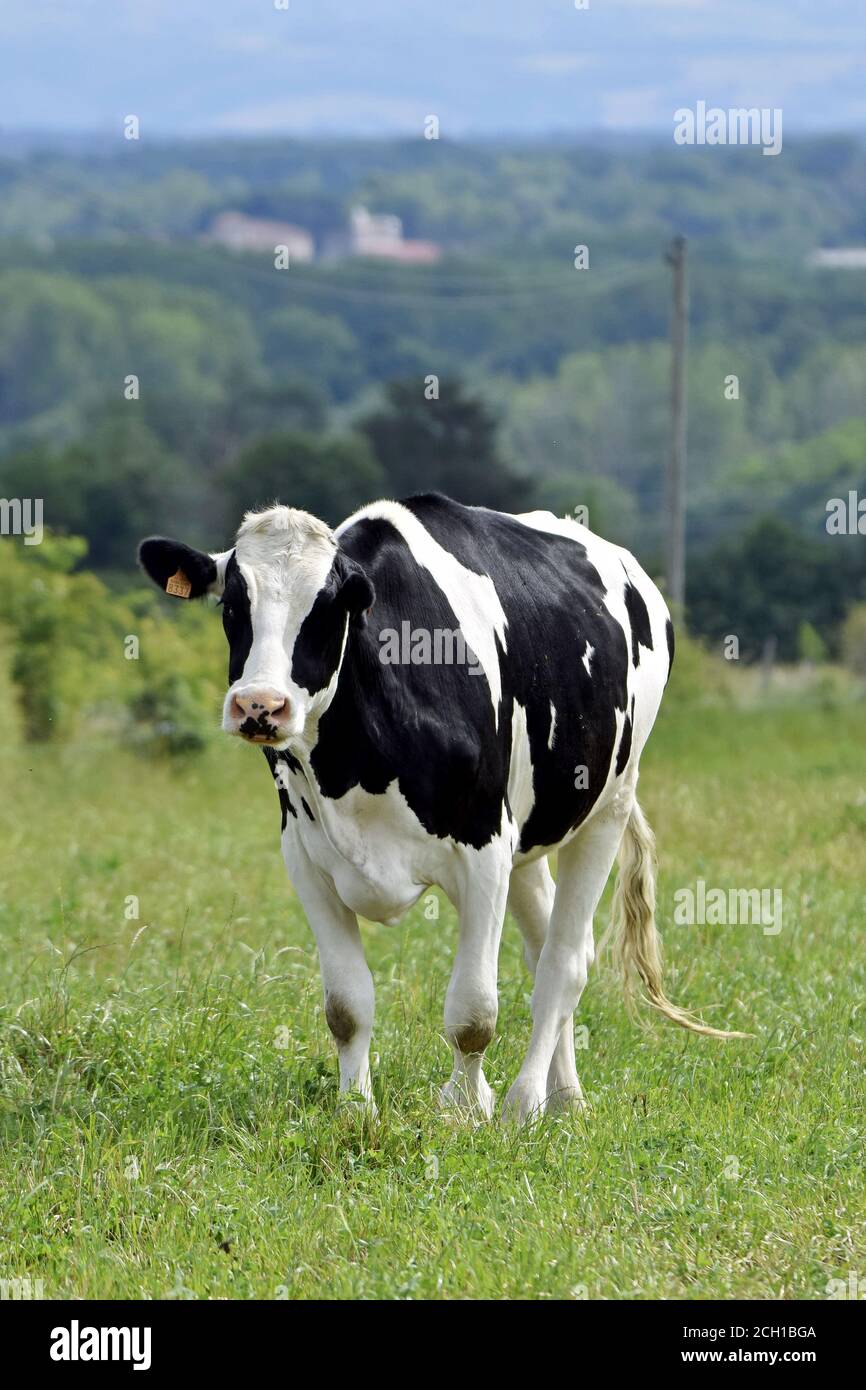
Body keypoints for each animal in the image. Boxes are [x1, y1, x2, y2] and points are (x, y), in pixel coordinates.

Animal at [139, 492, 743, 1124]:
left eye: (327, 607)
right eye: (232, 603)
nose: (260, 705)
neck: (357, 766)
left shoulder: (484, 847)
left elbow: (473, 1012)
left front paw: (467, 1109)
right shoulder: (305, 857)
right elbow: (346, 1006)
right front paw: (356, 1110)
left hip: (607, 806)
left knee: (564, 963)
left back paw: (527, 1102)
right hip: (528, 840)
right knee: (542, 947)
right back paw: (563, 1096)